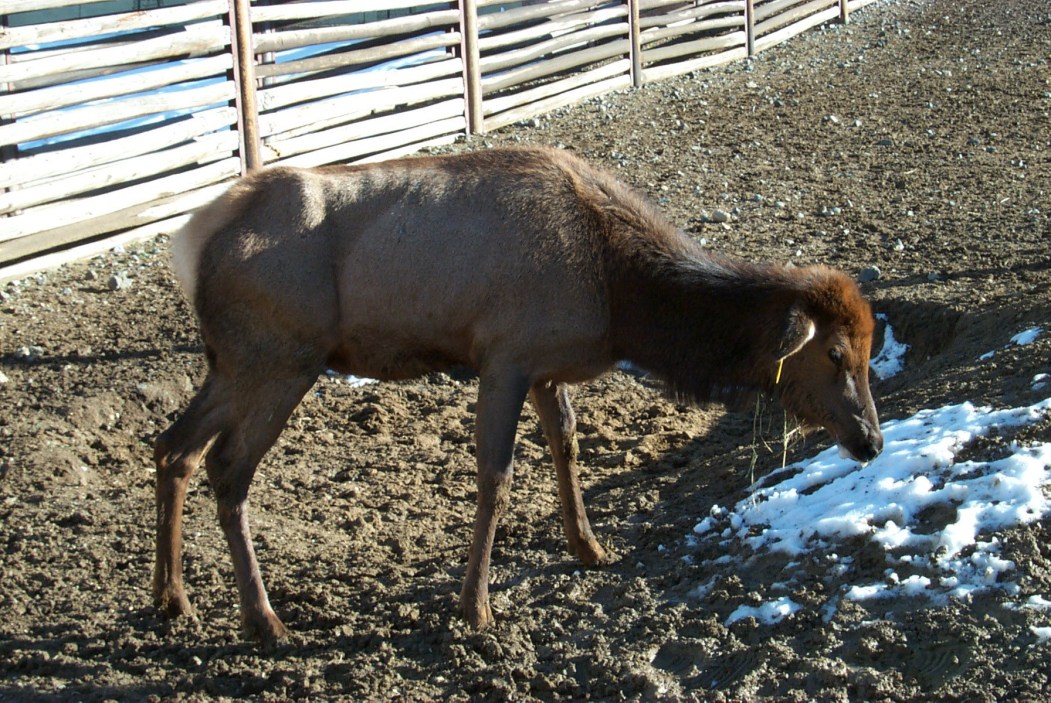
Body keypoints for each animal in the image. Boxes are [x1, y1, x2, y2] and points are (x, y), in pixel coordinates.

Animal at [154, 146, 882, 645]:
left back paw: (172, 598)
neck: (620, 298)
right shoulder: (503, 355)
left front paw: (589, 547)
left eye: (871, 350)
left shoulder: (545, 368)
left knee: (172, 447)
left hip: (231, 364)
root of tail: (189, 242)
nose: (872, 440)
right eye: (835, 354)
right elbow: (496, 475)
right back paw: (264, 619)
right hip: (281, 358)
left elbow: (567, 446)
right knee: (228, 467)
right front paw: (474, 607)